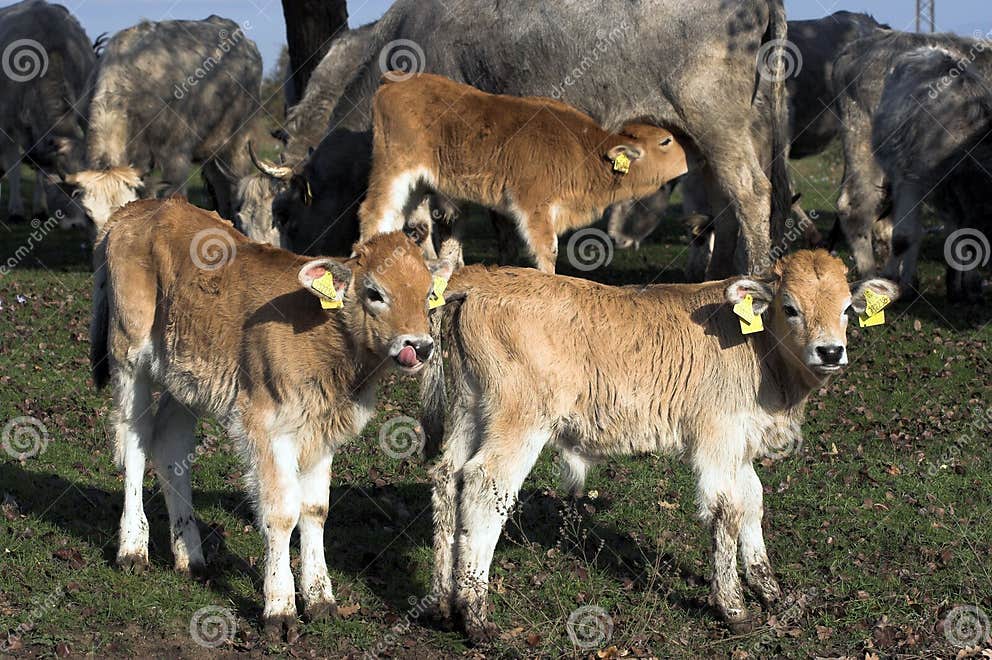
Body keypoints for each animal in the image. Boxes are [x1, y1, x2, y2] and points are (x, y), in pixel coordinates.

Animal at [0, 0, 96, 225]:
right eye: (66, 183)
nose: (79, 222)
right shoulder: (9, 122)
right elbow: (16, 165)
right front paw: (17, 211)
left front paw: (40, 209)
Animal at [89, 197, 452, 640]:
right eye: (374, 293)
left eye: (428, 295)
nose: (419, 346)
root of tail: (139, 208)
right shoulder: (266, 426)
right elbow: (281, 513)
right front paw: (279, 608)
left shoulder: (320, 432)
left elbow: (315, 509)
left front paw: (320, 599)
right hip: (129, 352)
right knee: (134, 442)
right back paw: (132, 548)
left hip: (187, 373)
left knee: (169, 444)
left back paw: (190, 555)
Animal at [357, 73, 689, 273]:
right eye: (665, 141)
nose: (687, 162)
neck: (586, 150)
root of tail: (391, 85)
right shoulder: (534, 208)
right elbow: (547, 251)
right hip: (393, 173)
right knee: (373, 214)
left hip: (415, 186)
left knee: (393, 220)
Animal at [421, 250, 897, 640]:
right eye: (790, 308)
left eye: (847, 308)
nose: (830, 351)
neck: (760, 352)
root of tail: (480, 278)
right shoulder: (717, 437)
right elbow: (726, 511)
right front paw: (734, 607)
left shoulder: (740, 444)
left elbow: (753, 502)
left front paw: (770, 590)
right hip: (518, 421)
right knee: (485, 488)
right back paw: (475, 616)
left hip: (468, 410)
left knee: (448, 479)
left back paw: (443, 601)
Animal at [871, 43, 992, 300]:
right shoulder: (912, 181)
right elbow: (902, 237)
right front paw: (888, 278)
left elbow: (968, 239)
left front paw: (969, 287)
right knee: (913, 231)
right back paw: (907, 283)